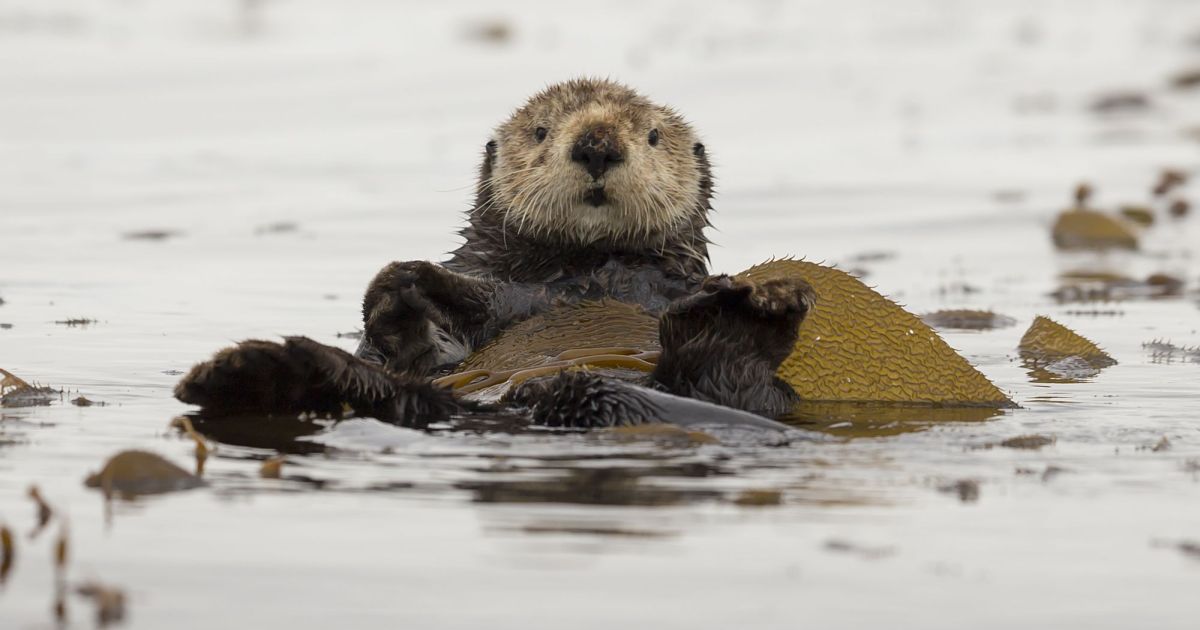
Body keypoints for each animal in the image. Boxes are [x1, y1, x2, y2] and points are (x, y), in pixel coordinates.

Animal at [175, 78, 815, 430]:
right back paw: (247, 372)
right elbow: (442, 322)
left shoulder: (665, 285)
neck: (585, 271)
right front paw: (404, 285)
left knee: (728, 378)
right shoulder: (496, 285)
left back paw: (743, 313)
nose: (598, 144)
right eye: (541, 132)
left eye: (653, 137)